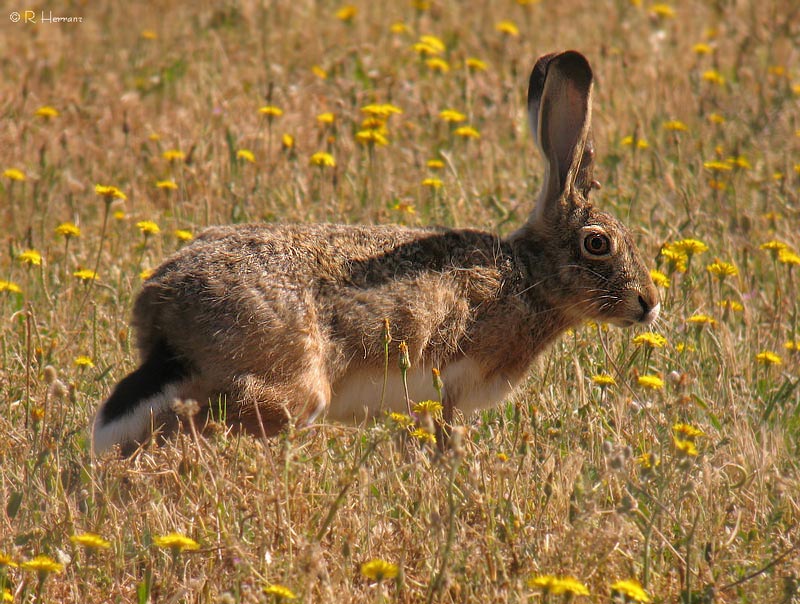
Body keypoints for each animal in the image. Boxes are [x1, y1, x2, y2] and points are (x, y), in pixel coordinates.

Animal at [92, 50, 660, 456]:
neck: (530, 277)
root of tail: (164, 302)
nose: (649, 304)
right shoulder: (452, 388)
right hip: (291, 390)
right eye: (597, 243)